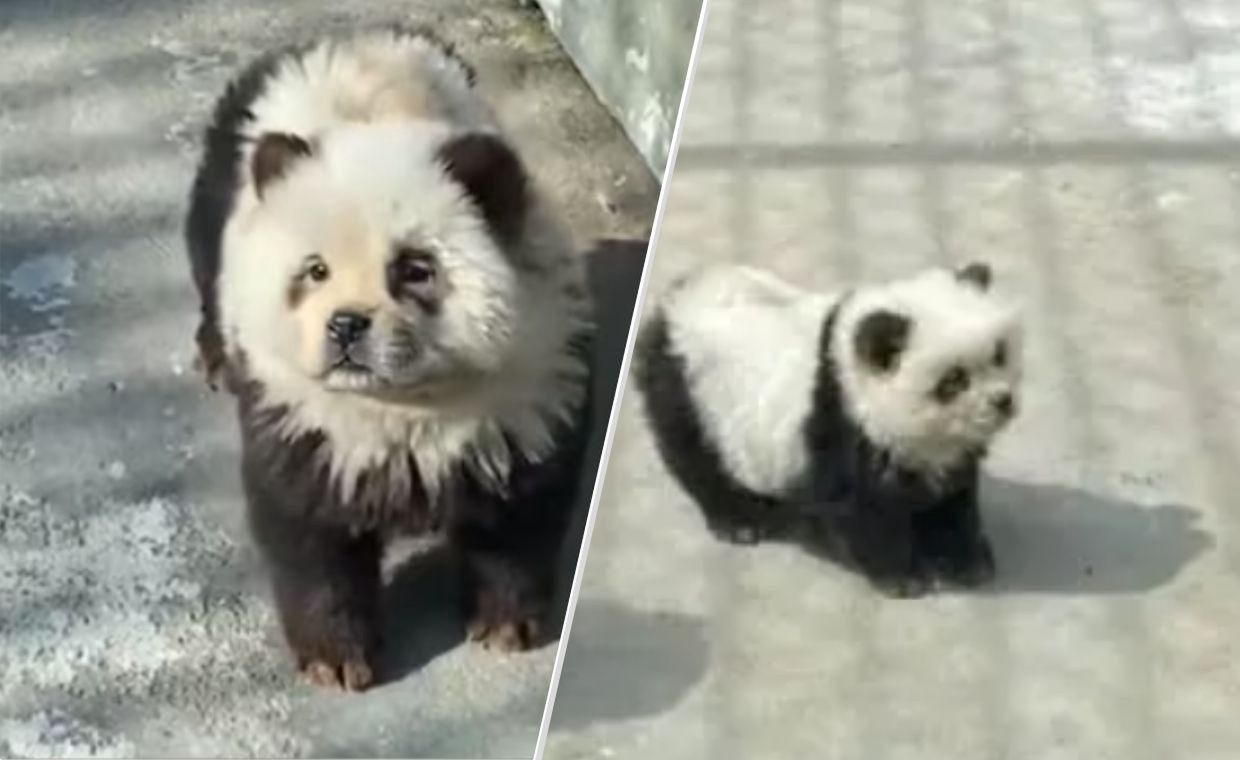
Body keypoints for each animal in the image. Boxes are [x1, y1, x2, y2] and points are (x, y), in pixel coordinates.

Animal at [183, 27, 593, 691]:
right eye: (315, 271)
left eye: (413, 270)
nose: (346, 325)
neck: (404, 406)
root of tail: (351, 38)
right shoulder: (301, 415)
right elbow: (308, 533)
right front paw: (335, 658)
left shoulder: (530, 386)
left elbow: (519, 517)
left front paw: (506, 624)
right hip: (226, 177)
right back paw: (215, 356)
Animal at [634, 262, 1022, 597]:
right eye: (953, 380)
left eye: (999, 354)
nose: (1003, 402)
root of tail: (674, 302)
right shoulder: (842, 428)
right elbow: (862, 506)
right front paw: (903, 577)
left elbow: (952, 500)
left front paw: (968, 563)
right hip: (691, 392)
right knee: (697, 458)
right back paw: (738, 521)